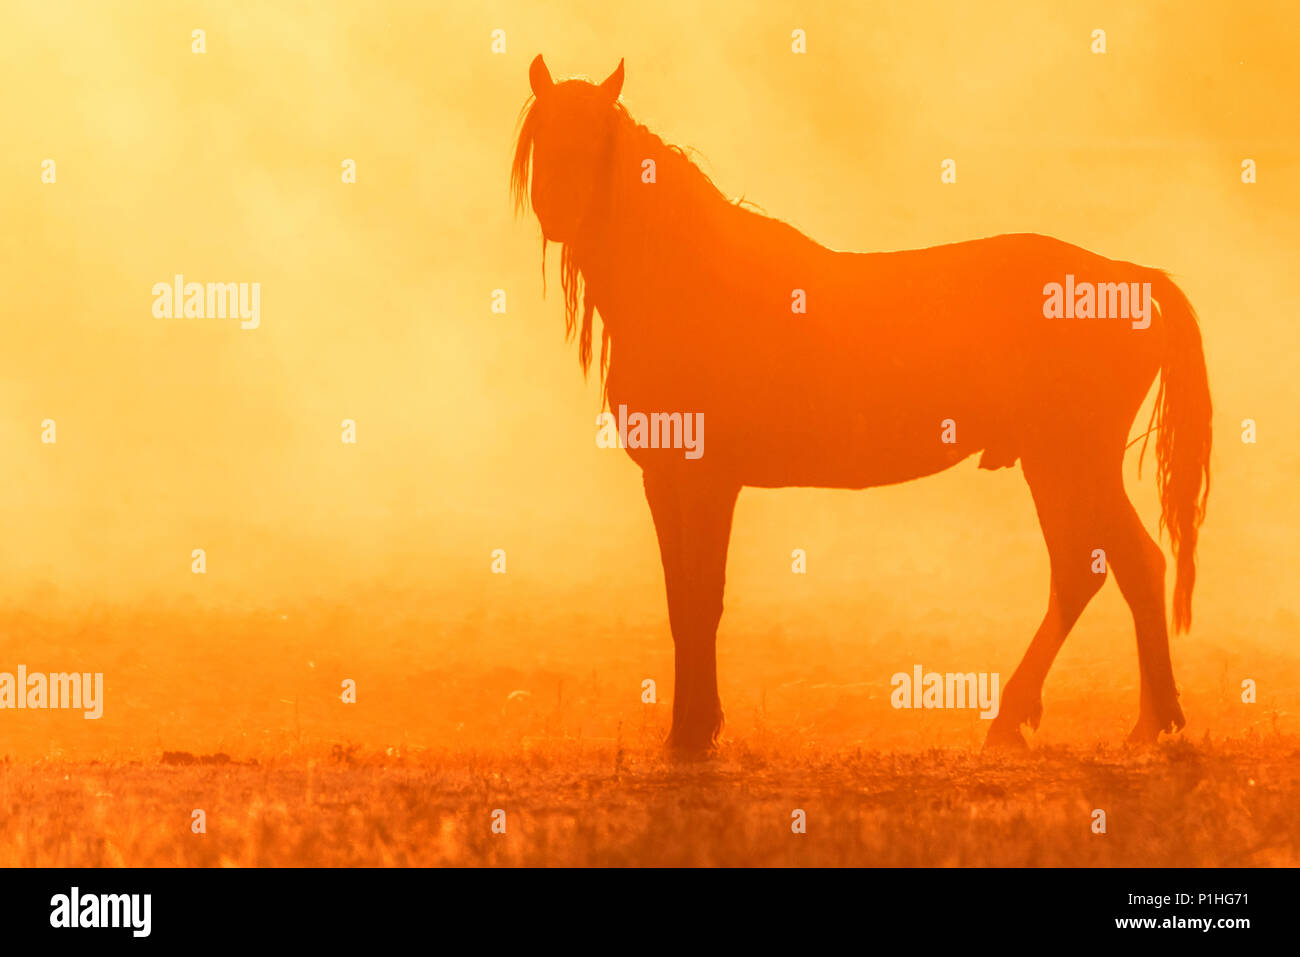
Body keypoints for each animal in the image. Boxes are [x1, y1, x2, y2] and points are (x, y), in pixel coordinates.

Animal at [511, 55, 1212, 754]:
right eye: (544, 136)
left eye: (600, 140)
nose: (560, 214)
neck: (692, 282)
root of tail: (1133, 278)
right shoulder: (664, 479)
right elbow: (680, 602)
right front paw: (689, 729)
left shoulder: (709, 480)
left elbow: (701, 600)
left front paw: (695, 729)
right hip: (1068, 466)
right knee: (1119, 568)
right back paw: (1138, 719)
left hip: (1070, 462)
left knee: (1105, 569)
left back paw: (1064, 718)